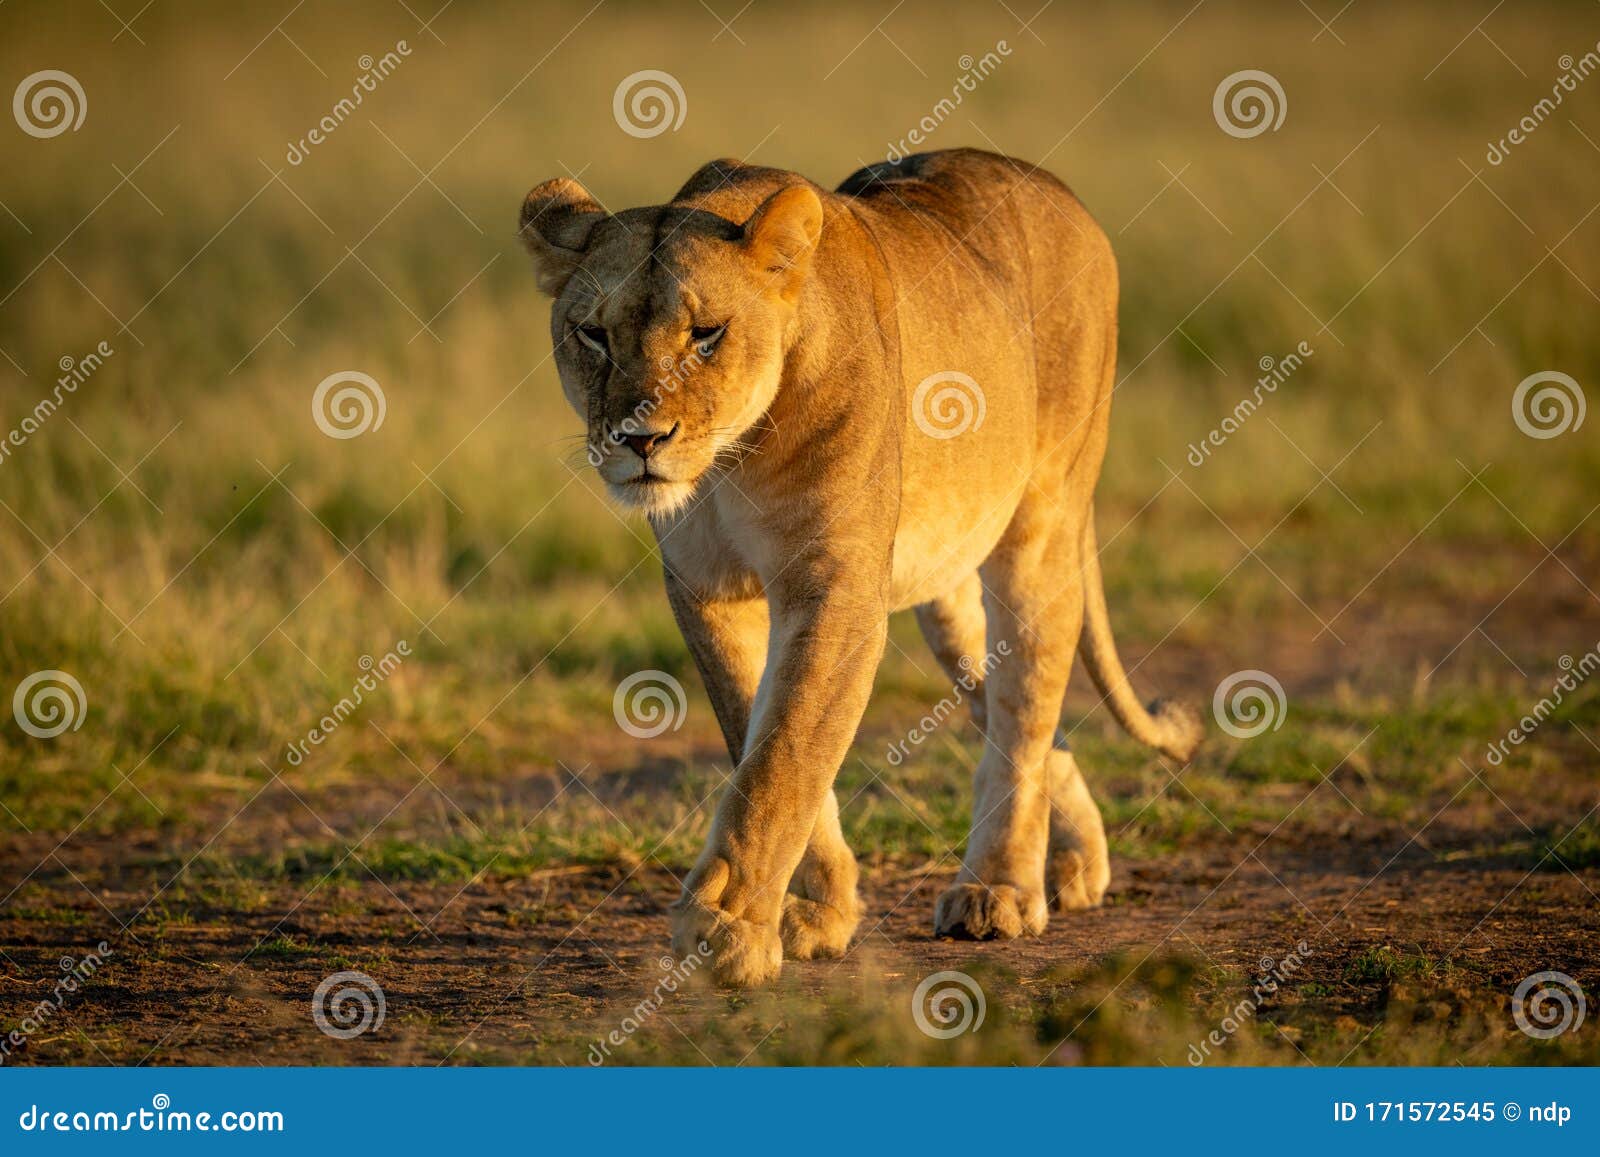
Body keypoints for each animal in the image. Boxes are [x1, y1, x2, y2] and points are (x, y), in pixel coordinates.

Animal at [518, 148, 1202, 987]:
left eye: (706, 335)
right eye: (592, 335)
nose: (637, 438)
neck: (732, 459)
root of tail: (1060, 192)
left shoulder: (834, 587)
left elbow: (782, 759)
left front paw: (726, 929)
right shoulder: (707, 591)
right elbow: (759, 732)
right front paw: (822, 910)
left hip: (1042, 524)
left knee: (1025, 710)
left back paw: (1000, 889)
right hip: (947, 586)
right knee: (1016, 711)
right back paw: (1077, 859)